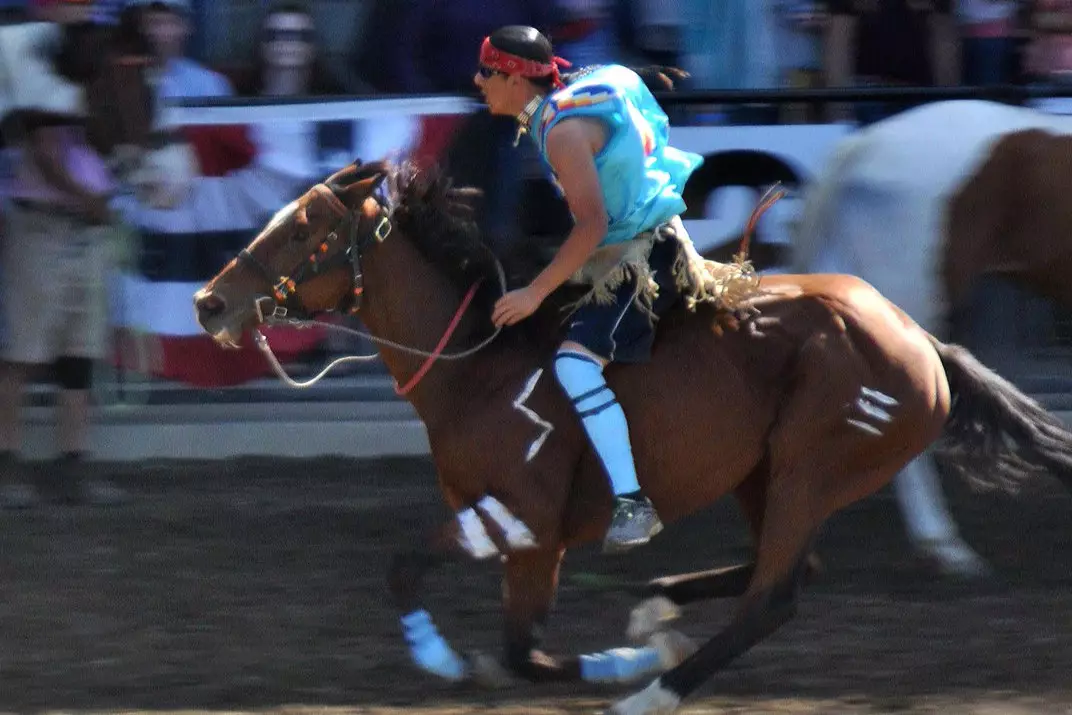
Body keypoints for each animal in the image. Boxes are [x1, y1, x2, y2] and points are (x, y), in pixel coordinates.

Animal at [192, 160, 1072, 715]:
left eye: (303, 229)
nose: (208, 302)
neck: (478, 368)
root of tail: (921, 339)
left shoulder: (526, 524)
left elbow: (502, 637)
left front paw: (608, 665)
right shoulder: (507, 527)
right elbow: (452, 600)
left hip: (811, 468)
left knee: (772, 595)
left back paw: (651, 688)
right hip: (763, 472)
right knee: (783, 569)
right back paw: (656, 610)